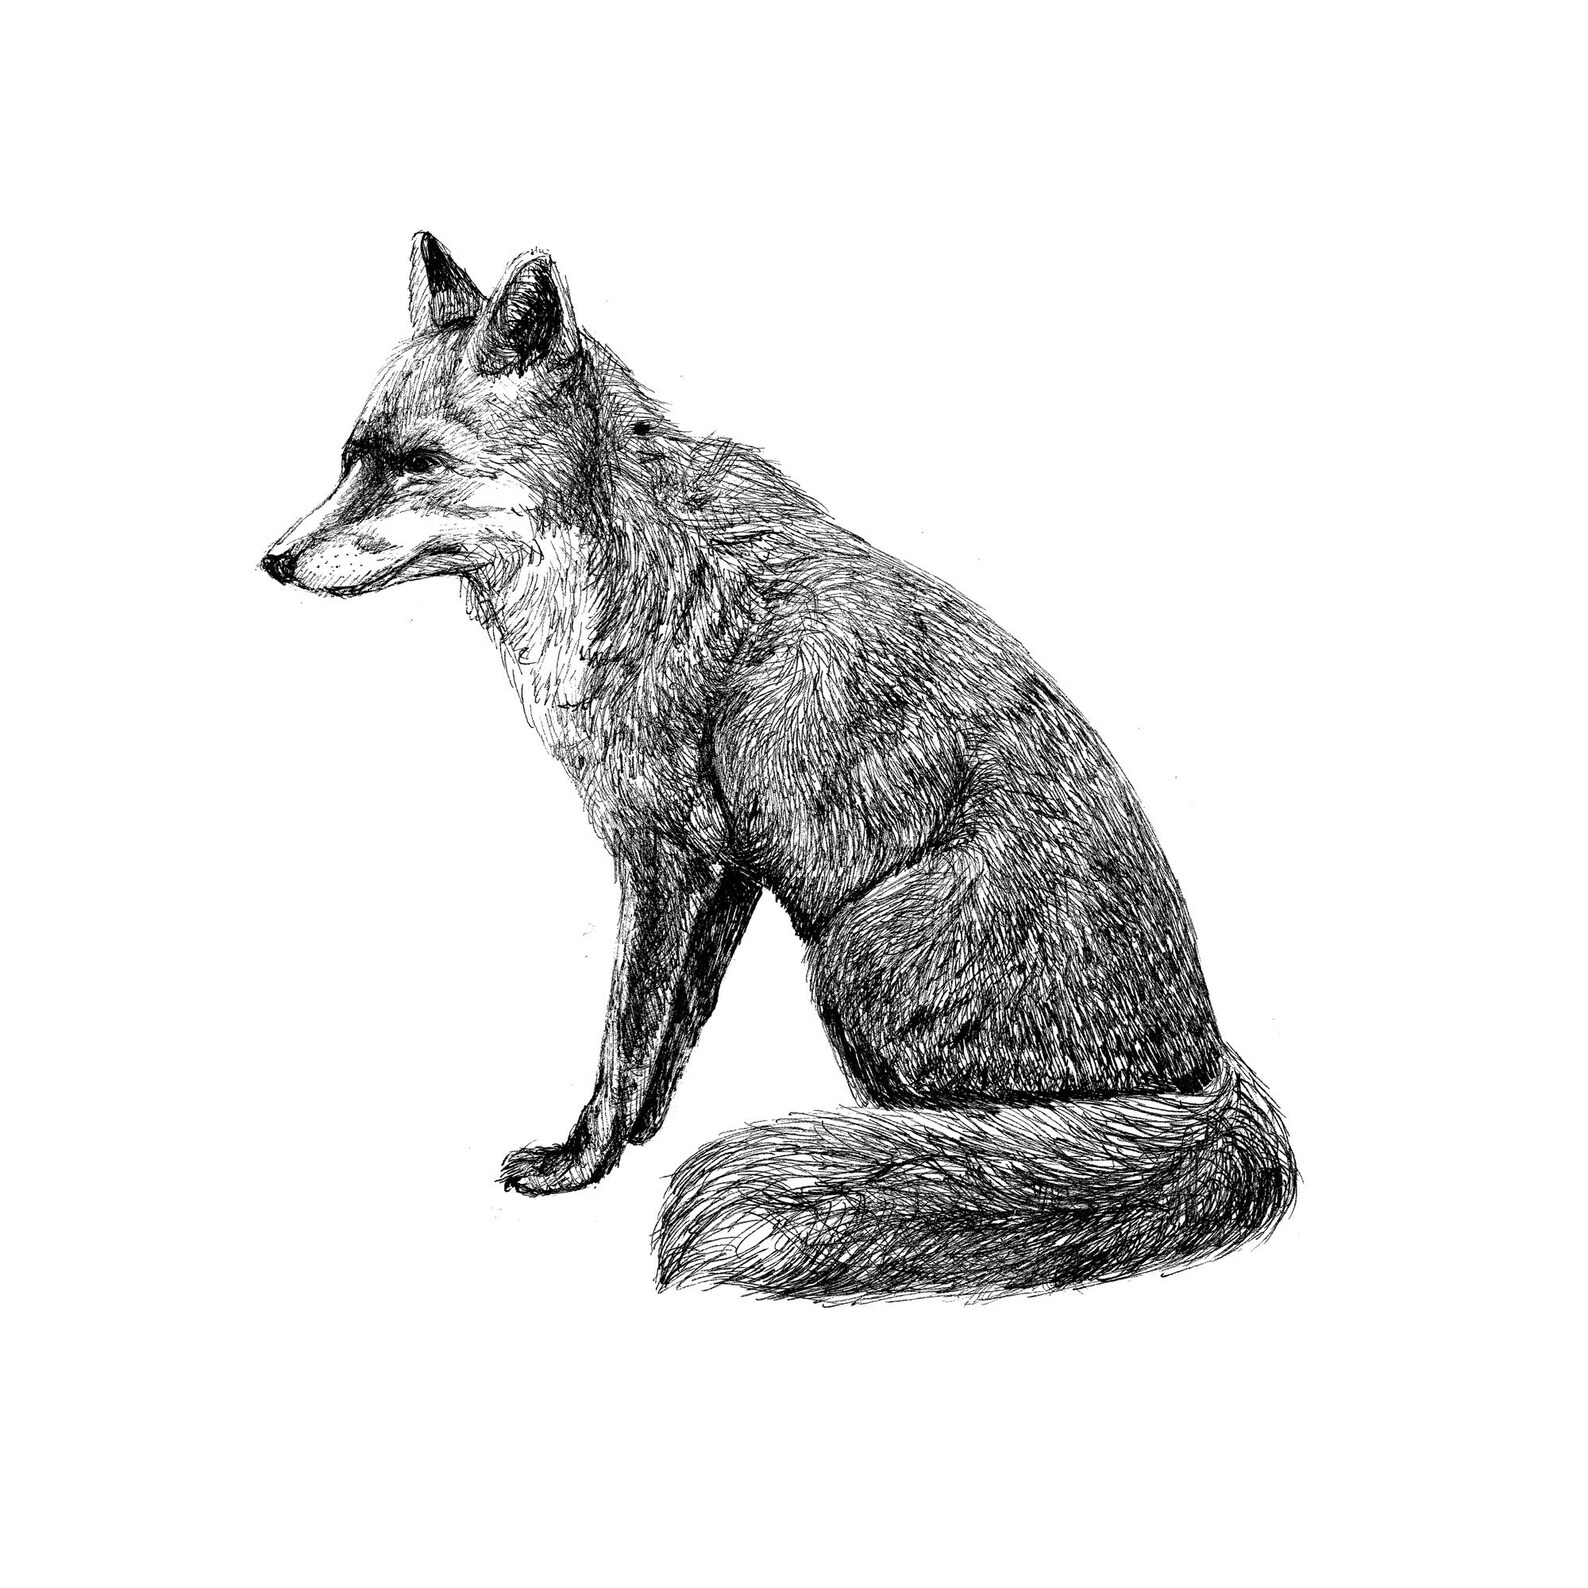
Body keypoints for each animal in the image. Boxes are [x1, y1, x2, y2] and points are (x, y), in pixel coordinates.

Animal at [262, 233, 1297, 1300]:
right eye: (351, 458)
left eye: (415, 465)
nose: (274, 559)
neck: (617, 571)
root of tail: (1203, 1059)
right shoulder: (728, 865)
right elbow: (676, 1024)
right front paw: (641, 1135)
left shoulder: (665, 853)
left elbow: (625, 1029)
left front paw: (582, 1162)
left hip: (853, 954)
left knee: (979, 1133)